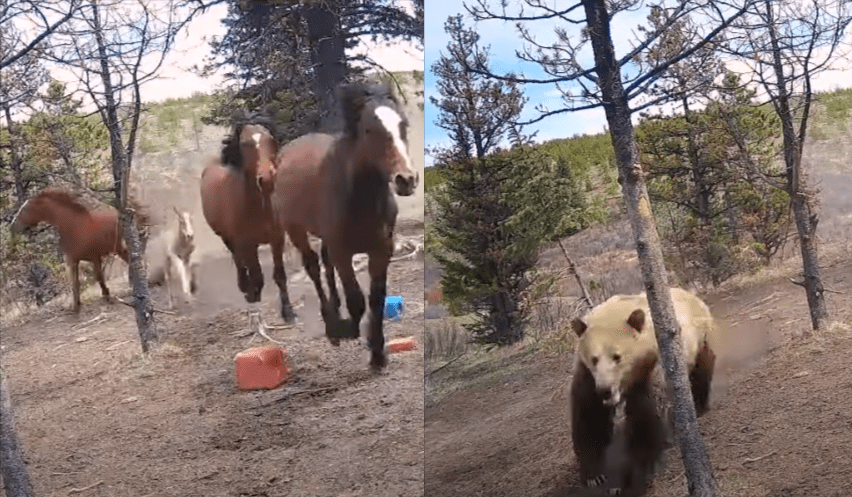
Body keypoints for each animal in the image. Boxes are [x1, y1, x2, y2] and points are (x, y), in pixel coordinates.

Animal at [569, 287, 717, 495]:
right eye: (594, 358)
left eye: (617, 357)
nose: (605, 390)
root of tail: (690, 294)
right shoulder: (587, 375)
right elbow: (591, 416)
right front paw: (593, 475)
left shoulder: (655, 363)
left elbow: (647, 418)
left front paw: (631, 480)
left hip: (700, 339)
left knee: (701, 371)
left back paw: (697, 407)